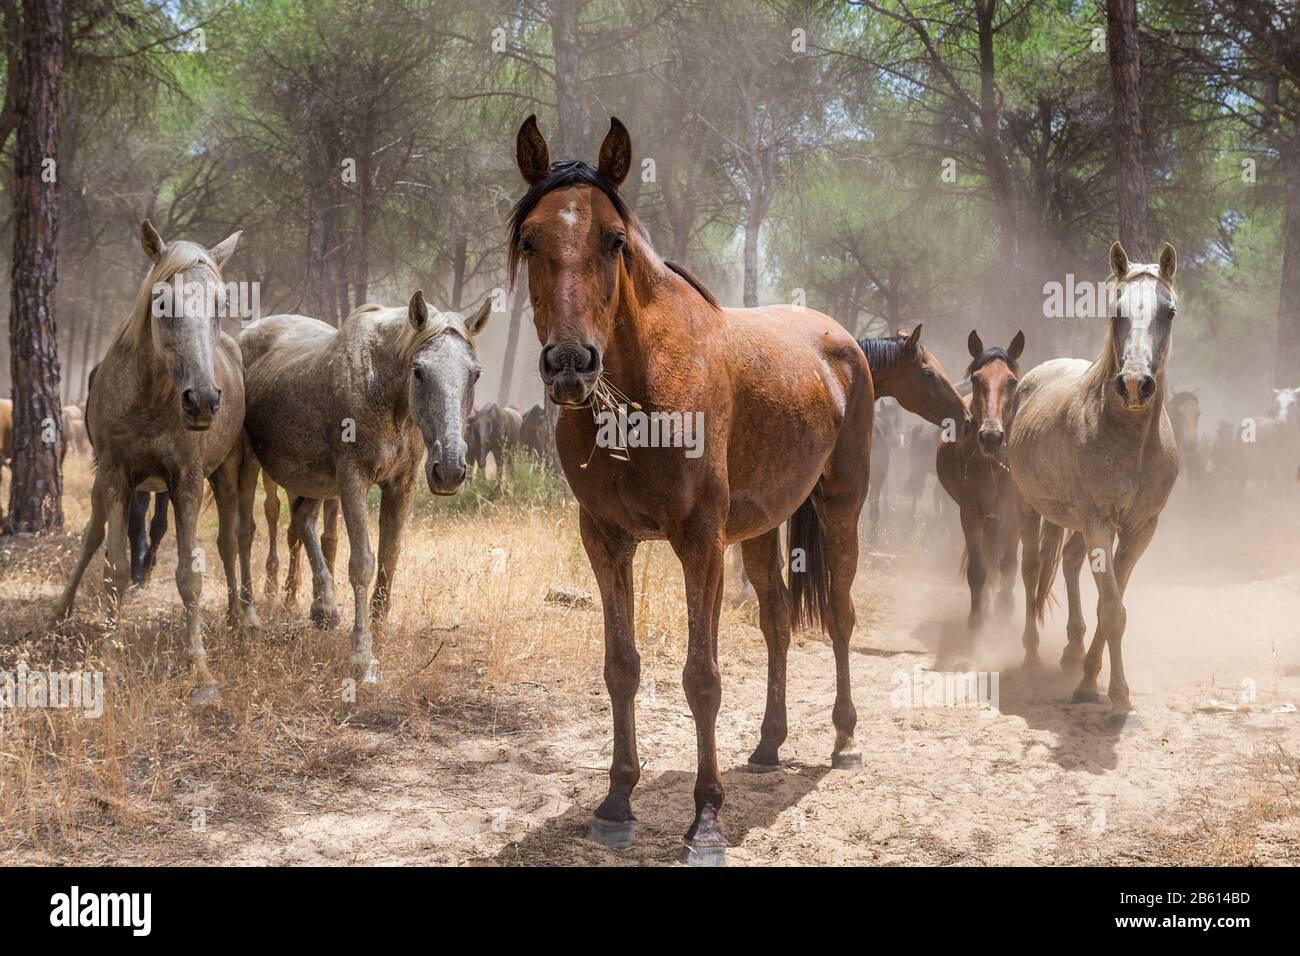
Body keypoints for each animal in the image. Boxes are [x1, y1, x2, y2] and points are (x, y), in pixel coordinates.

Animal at [52, 220, 259, 704]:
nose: (203, 401)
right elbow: (113, 566)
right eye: (163, 301)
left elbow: (189, 575)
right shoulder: (114, 476)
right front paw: (109, 653)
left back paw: (239, 617)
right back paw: (59, 612)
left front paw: (199, 667)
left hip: (227, 475)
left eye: (221, 302)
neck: (150, 397)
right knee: (92, 537)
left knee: (231, 541)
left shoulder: (187, 481)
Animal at [237, 293, 490, 681]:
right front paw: (363, 654)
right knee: (245, 532)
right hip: (249, 464)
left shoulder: (401, 483)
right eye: (419, 371)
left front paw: (380, 630)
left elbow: (389, 556)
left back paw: (324, 607)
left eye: (474, 374)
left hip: (315, 479)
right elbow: (363, 563)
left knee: (304, 521)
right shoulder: (353, 477)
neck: (386, 396)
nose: (449, 469)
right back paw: (247, 614)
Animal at [510, 115, 874, 864]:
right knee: (776, 624)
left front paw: (705, 820)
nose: (570, 364)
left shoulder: (700, 543)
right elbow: (621, 666)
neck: (644, 391)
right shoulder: (605, 540)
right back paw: (768, 746)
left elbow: (701, 677)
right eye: (530, 238)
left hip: (842, 506)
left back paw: (845, 739)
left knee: (841, 615)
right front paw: (616, 802)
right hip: (763, 527)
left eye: (613, 241)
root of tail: (841, 340)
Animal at [937, 330, 1025, 630]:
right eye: (976, 379)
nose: (991, 436)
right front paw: (976, 618)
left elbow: (1009, 566)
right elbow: (978, 569)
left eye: (1011, 381)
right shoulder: (971, 513)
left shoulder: (1013, 514)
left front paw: (1005, 612)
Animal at [1008, 242, 1179, 712]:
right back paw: (1031, 651)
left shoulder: (1140, 530)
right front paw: (1112, 692)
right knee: (1032, 569)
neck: (1131, 440)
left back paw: (1071, 650)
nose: (1135, 384)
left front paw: (1089, 675)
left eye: (1169, 311)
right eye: (1116, 308)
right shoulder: (1100, 524)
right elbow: (1113, 609)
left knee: (1067, 562)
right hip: (1028, 506)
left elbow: (1111, 605)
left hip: (1075, 523)